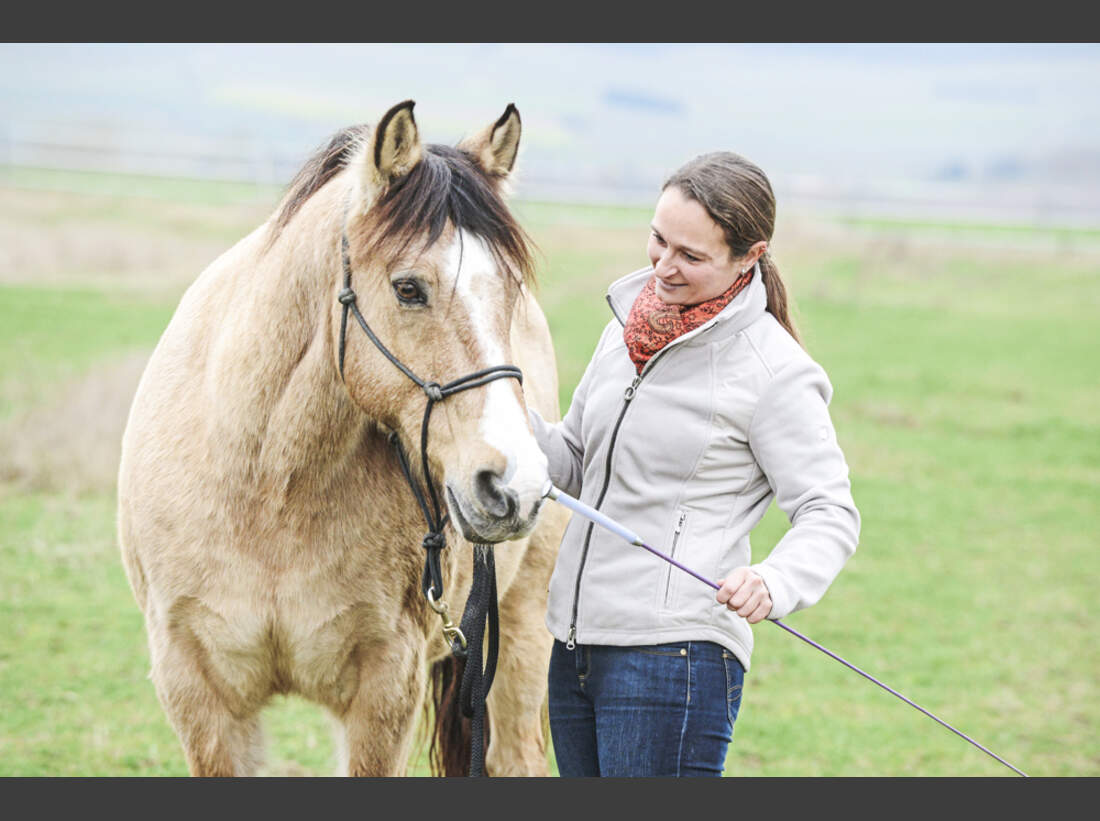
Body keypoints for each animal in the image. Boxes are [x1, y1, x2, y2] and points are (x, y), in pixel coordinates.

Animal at [117, 100, 570, 776]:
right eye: (408, 288)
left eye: (513, 289)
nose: (515, 485)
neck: (271, 490)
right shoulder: (197, 689)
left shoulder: (385, 690)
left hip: (518, 632)